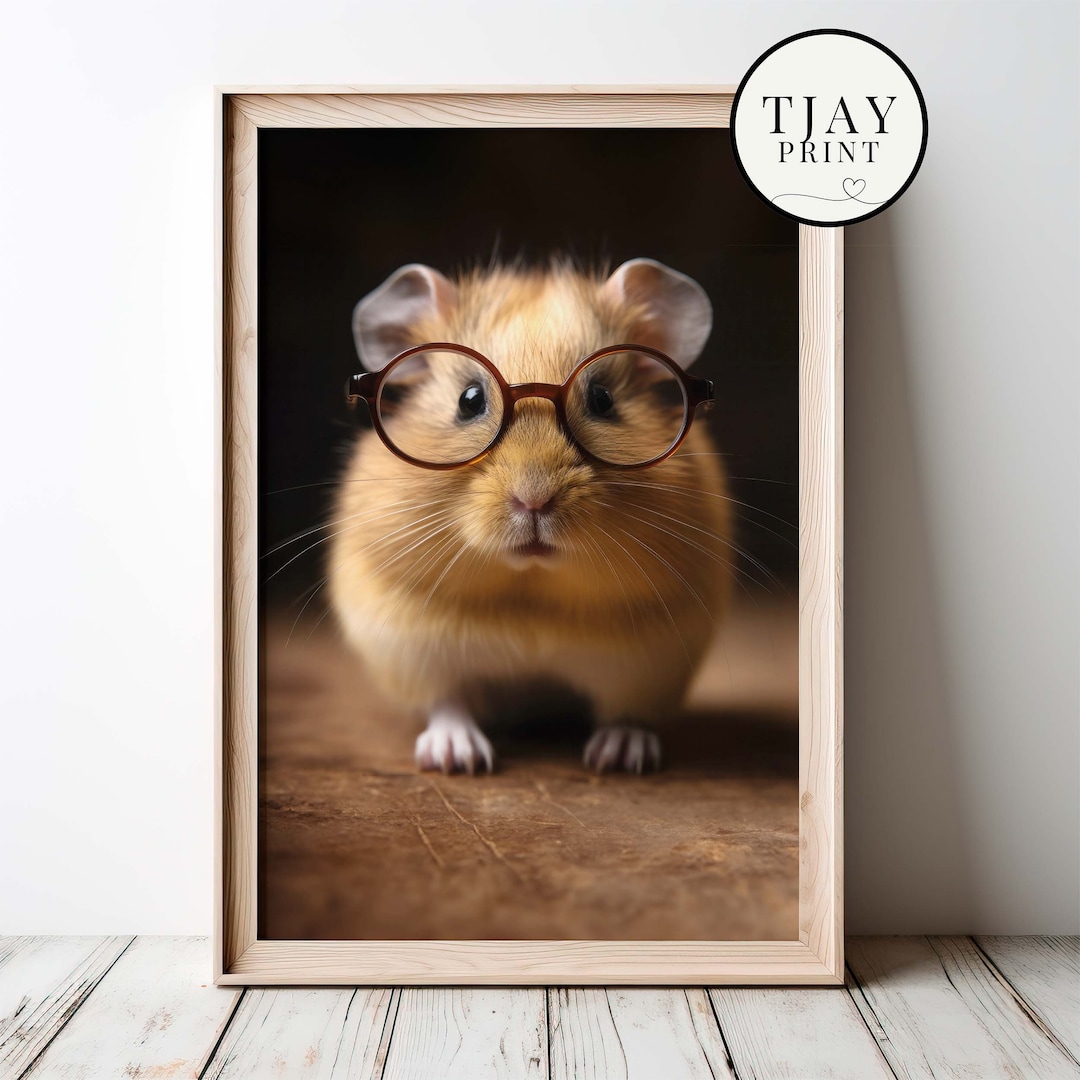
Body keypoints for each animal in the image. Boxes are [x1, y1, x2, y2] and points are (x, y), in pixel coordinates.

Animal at [328, 258, 731, 775]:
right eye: (469, 400)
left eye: (603, 400)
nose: (534, 501)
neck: (530, 588)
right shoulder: (412, 649)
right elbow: (447, 702)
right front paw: (460, 760)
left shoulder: (649, 664)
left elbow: (624, 712)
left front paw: (620, 759)